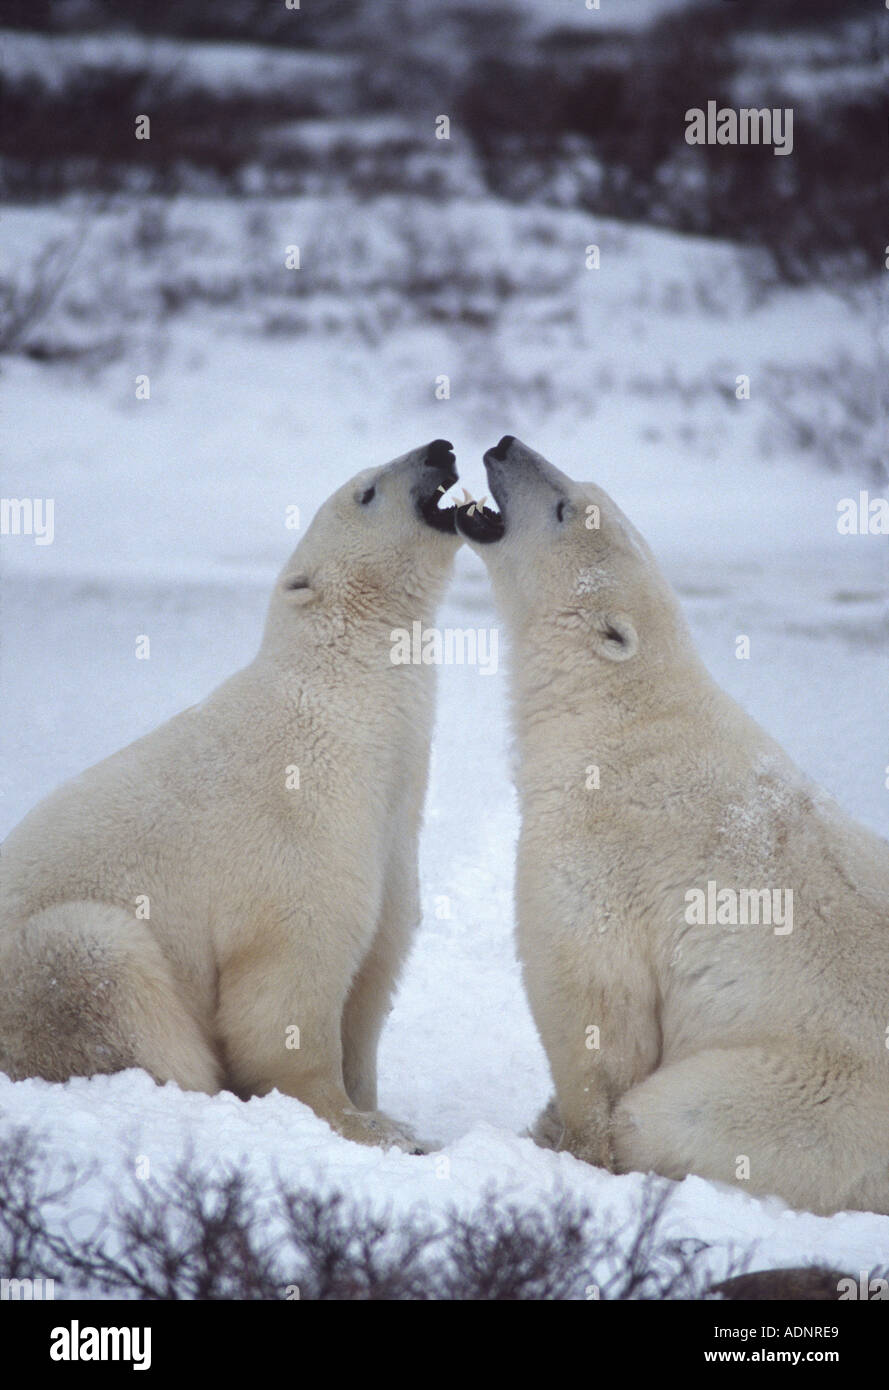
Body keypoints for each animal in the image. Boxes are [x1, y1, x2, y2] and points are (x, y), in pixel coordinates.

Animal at [0, 439, 461, 1150]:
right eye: (367, 491)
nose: (440, 448)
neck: (345, 709)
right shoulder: (297, 829)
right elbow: (289, 990)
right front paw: (365, 1128)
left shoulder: (389, 832)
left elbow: (376, 967)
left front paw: (385, 1113)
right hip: (39, 969)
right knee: (98, 963)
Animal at [457, 434, 889, 1215]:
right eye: (579, 483)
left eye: (566, 506)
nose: (504, 445)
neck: (621, 715)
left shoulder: (603, 846)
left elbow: (596, 1009)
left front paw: (569, 1139)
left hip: (819, 1097)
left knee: (676, 1111)